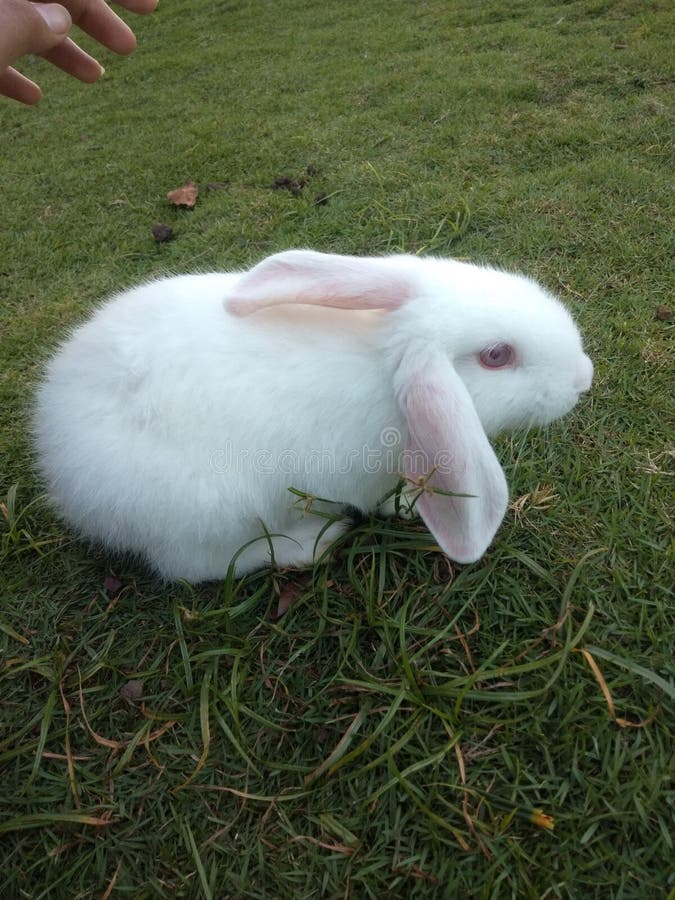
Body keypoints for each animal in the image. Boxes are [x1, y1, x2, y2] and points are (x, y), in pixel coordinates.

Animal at [34, 249, 593, 582]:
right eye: (497, 356)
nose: (583, 377)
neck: (382, 363)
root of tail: (57, 463)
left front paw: (411, 504)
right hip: (203, 512)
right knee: (197, 566)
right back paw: (310, 544)